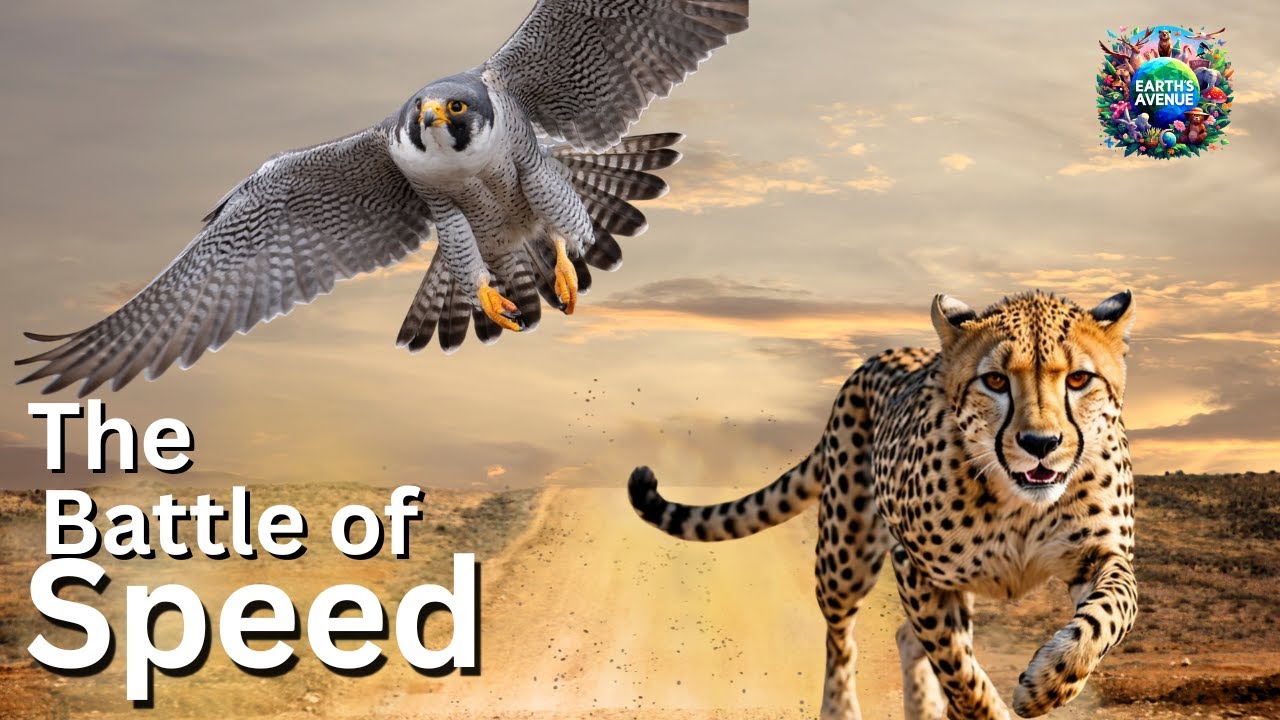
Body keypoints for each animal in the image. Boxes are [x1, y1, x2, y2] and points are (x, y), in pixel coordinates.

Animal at [627, 290, 1138, 719]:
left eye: (1079, 379)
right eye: (994, 380)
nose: (1040, 444)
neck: (1019, 501)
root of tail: (879, 357)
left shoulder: (1099, 555)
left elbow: (1113, 609)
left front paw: (1052, 682)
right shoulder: (915, 567)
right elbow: (955, 665)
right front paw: (986, 708)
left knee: (907, 636)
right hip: (845, 558)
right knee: (841, 638)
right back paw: (842, 709)